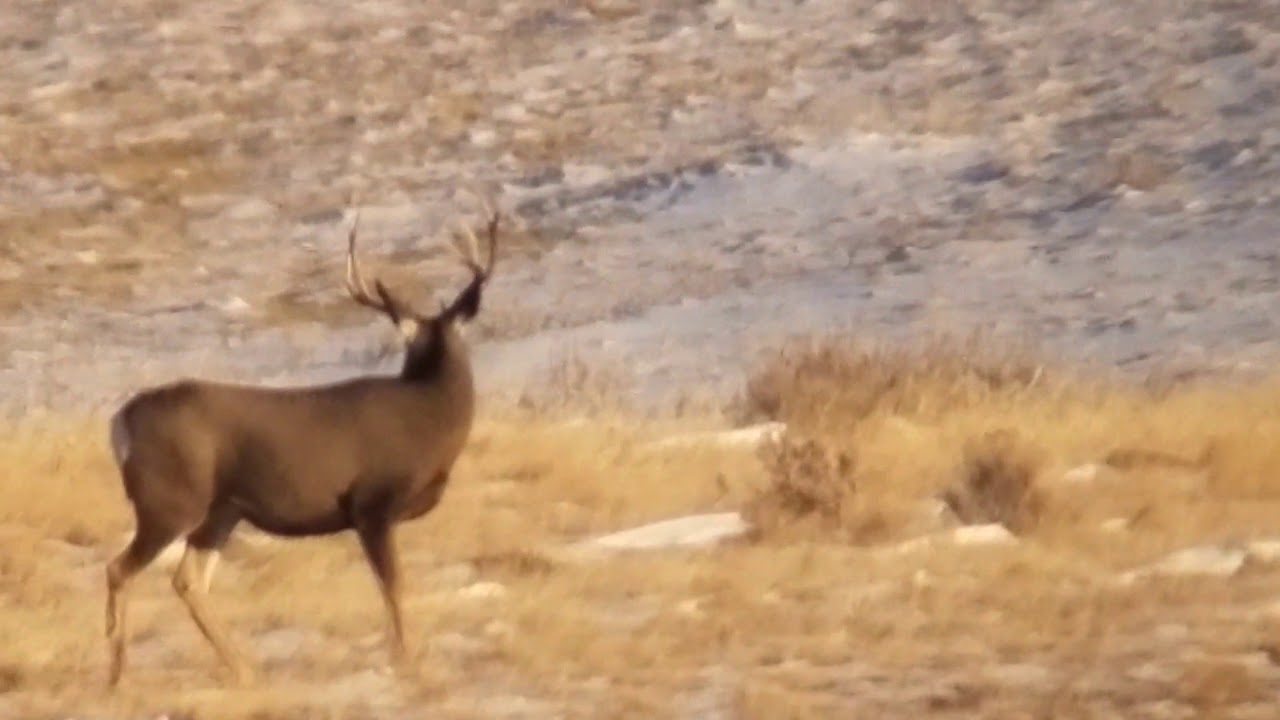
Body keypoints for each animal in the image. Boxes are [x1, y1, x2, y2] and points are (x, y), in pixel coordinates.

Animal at [103, 194, 500, 687]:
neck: (428, 416)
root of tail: (120, 422)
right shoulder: (372, 505)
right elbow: (394, 584)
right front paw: (406, 658)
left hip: (221, 511)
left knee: (188, 581)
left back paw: (245, 668)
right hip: (170, 501)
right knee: (119, 570)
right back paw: (119, 674)